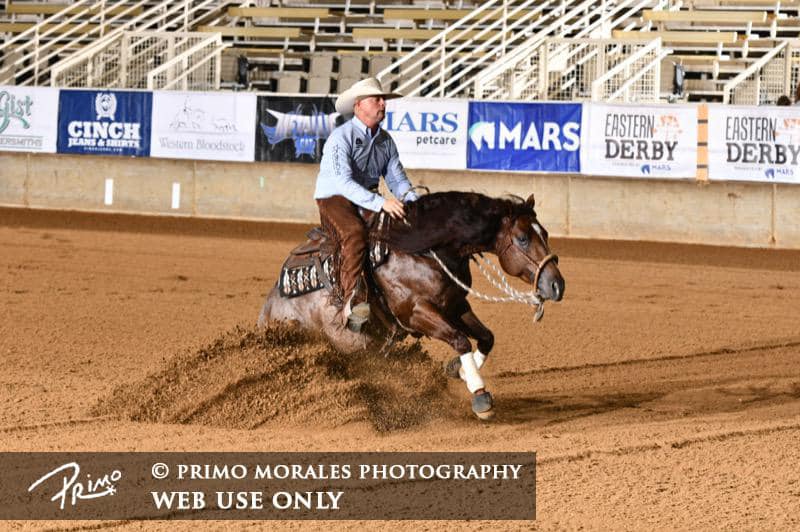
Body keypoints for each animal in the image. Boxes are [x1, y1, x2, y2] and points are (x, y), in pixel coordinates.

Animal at [258, 191, 565, 419]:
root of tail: (268, 310)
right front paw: (480, 395)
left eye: (546, 233)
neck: (423, 251)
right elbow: (460, 340)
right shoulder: (416, 313)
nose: (557, 285)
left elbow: (486, 337)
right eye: (522, 239)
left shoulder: (455, 306)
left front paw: (459, 370)